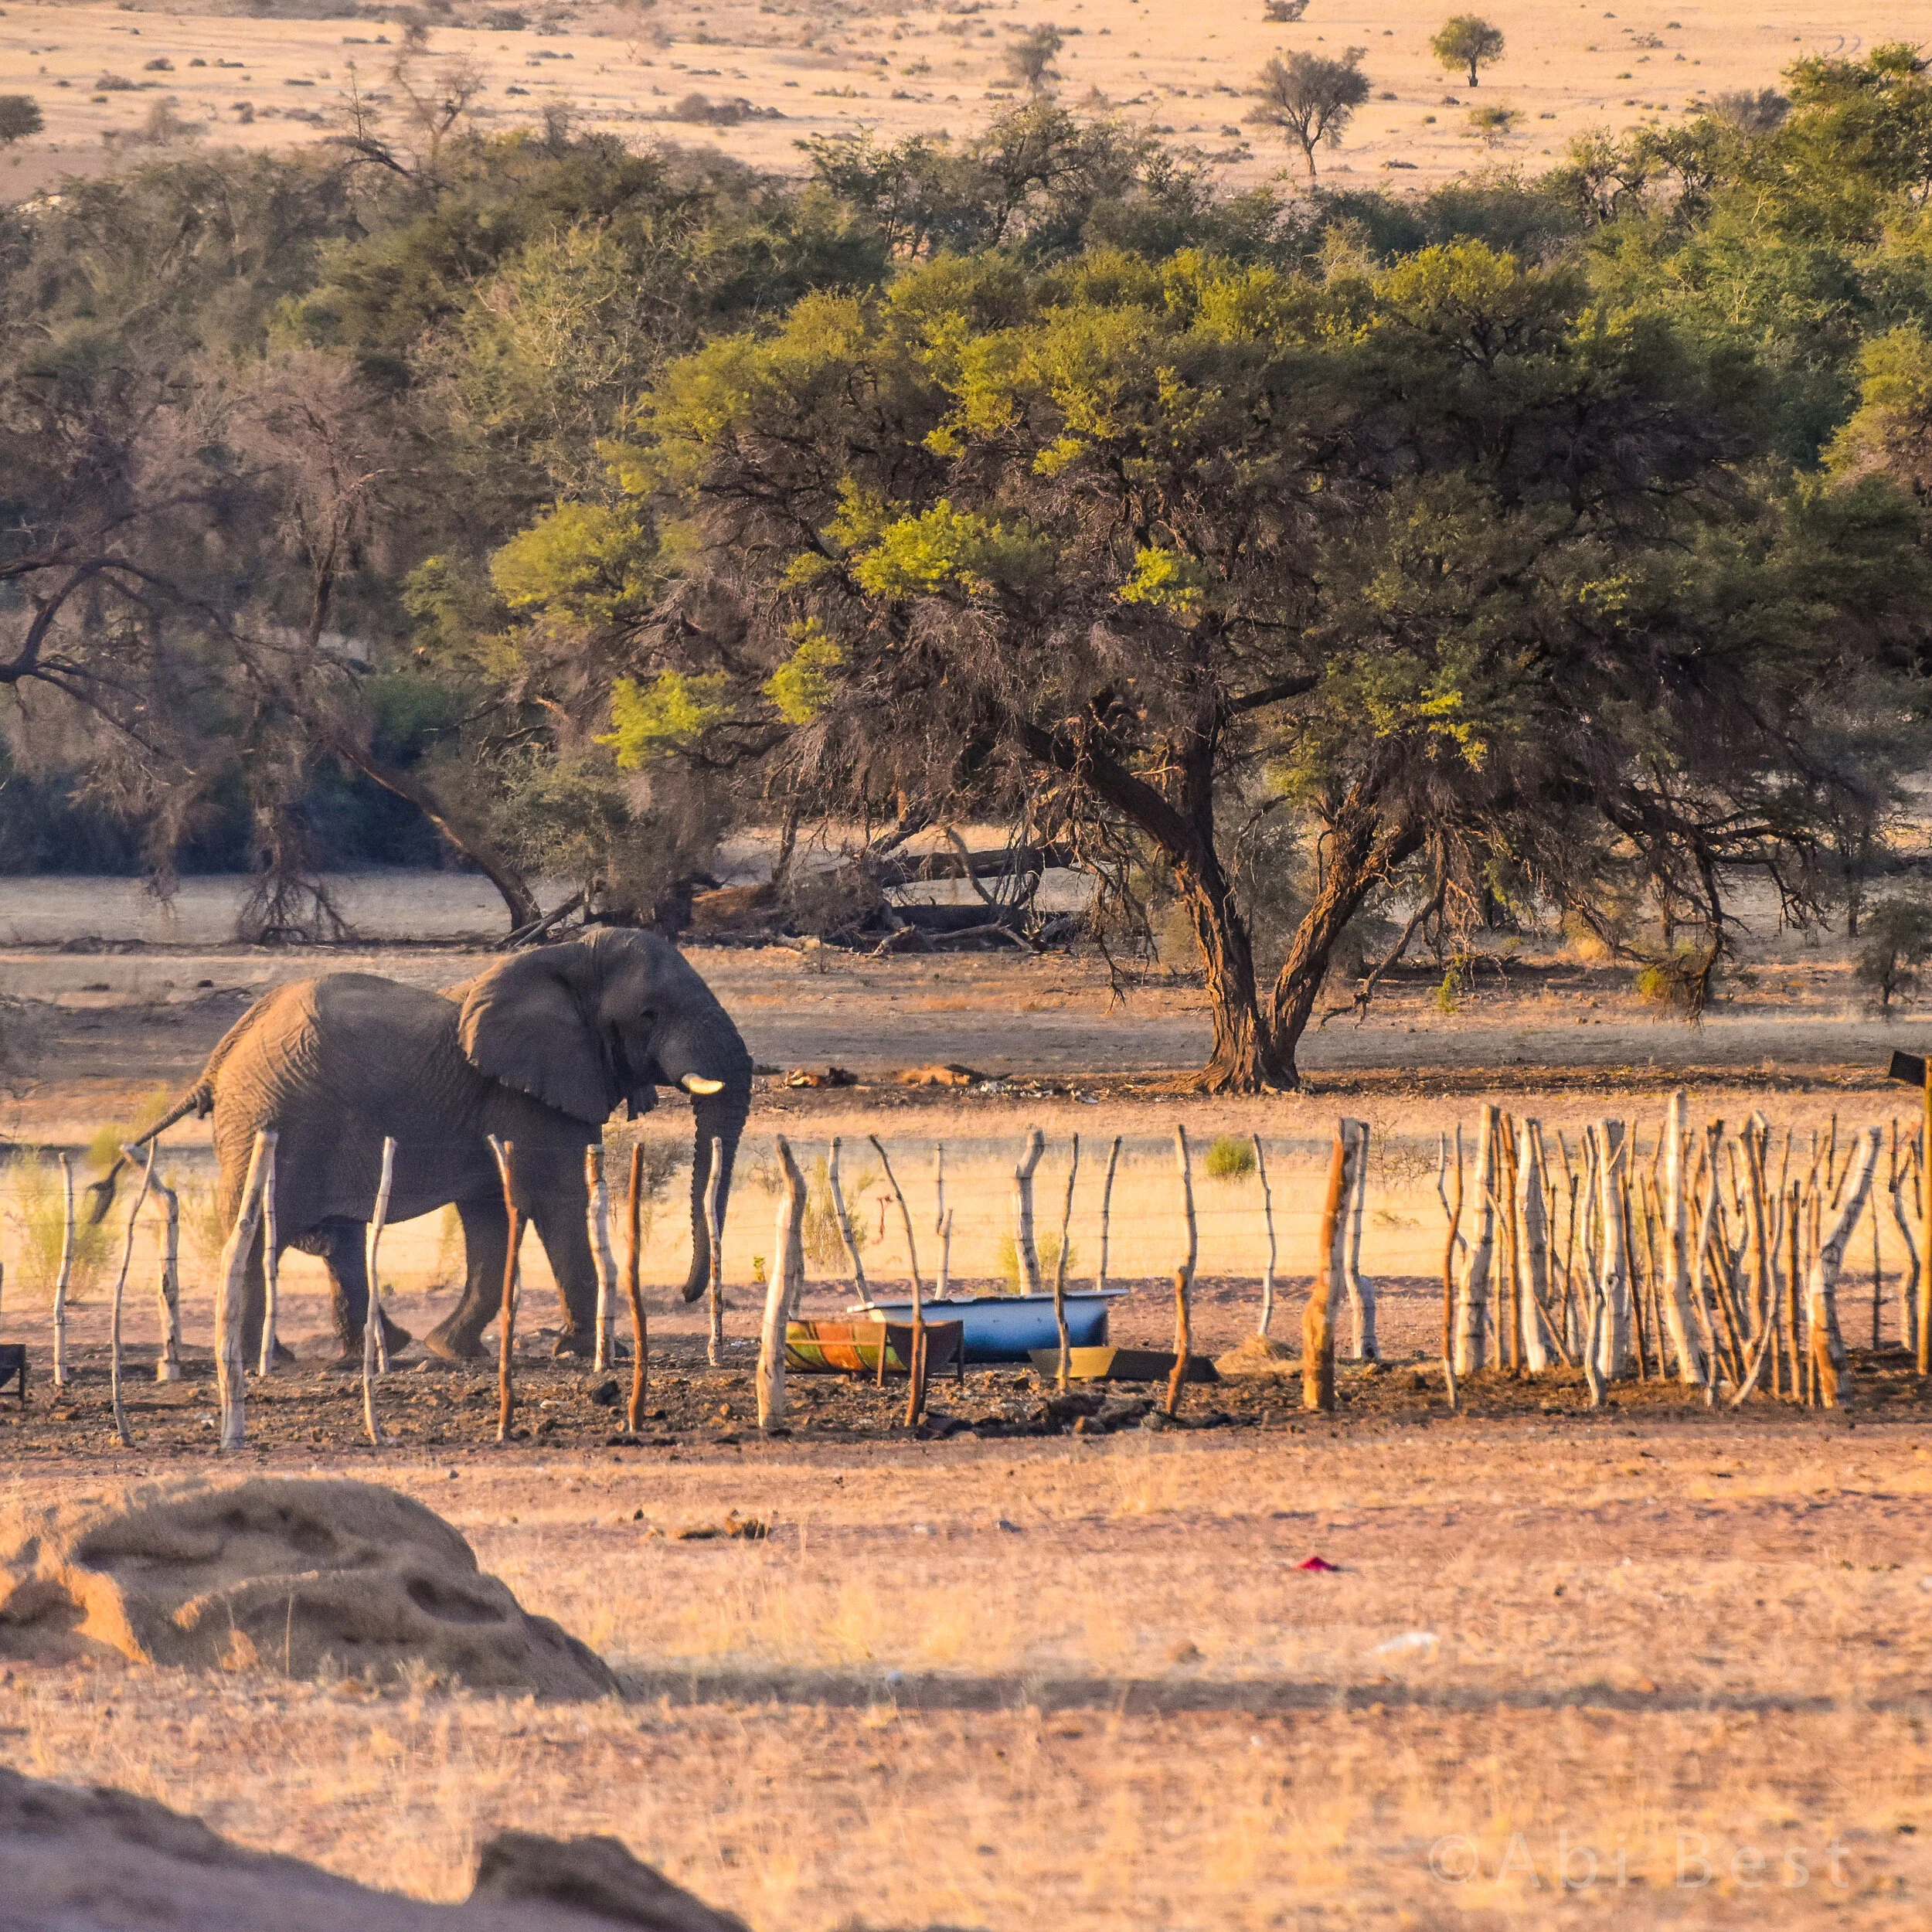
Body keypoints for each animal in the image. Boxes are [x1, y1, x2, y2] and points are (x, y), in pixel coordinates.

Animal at [90, 929, 753, 1363]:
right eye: (650, 1014)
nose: (686, 1292)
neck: (564, 956)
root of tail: (219, 1059)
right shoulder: (524, 1094)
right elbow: (554, 1199)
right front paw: (590, 1350)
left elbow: (492, 1216)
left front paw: (454, 1351)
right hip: (274, 1121)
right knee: (265, 1232)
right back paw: (266, 1361)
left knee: (334, 1239)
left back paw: (375, 1350)